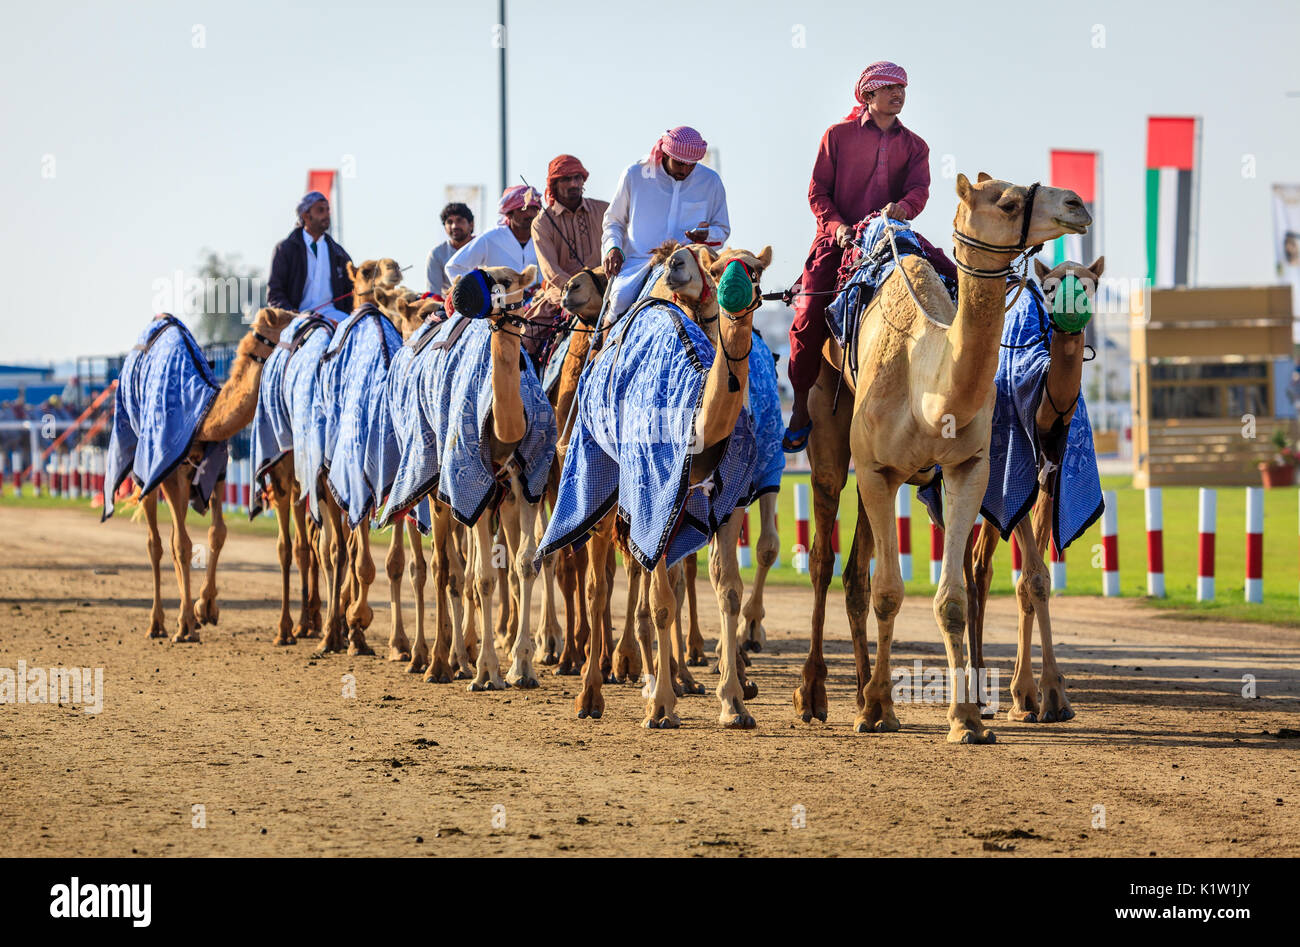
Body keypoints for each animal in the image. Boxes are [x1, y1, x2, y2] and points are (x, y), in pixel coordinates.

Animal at [105, 306, 295, 642]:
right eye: (288, 321)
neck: (204, 418)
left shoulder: (216, 469)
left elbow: (217, 533)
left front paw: (205, 609)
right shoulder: (167, 468)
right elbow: (181, 544)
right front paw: (186, 624)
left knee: (172, 536)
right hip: (149, 468)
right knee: (156, 541)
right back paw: (158, 624)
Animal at [965, 256, 1104, 723]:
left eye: (1090, 284)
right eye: (1048, 287)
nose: (1070, 313)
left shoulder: (1049, 479)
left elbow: (1034, 581)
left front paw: (1040, 695)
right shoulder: (1015, 474)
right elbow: (1034, 577)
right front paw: (1039, 694)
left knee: (979, 564)